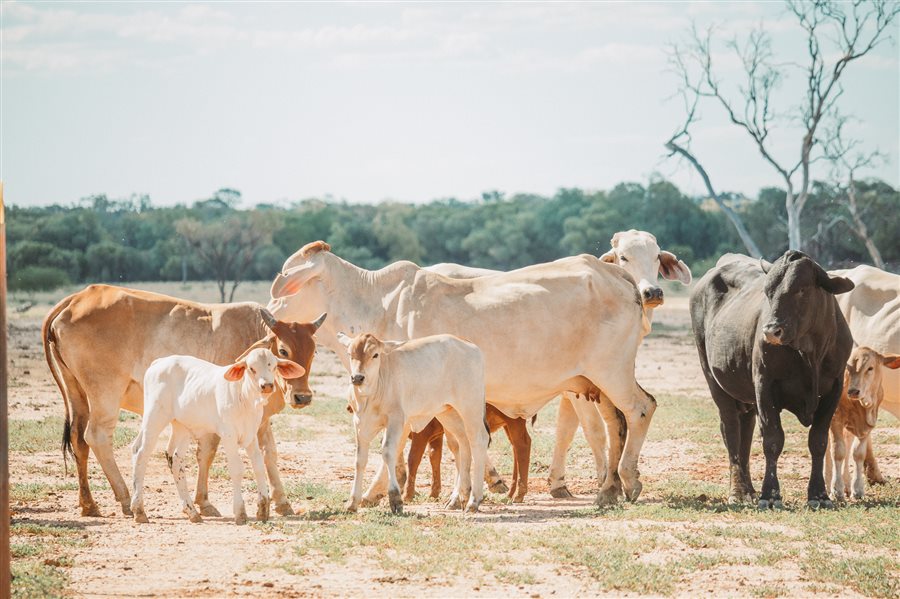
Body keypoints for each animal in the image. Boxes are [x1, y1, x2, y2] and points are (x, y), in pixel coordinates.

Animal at [132, 348, 305, 524]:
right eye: (251, 368)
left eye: (274, 366)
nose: (267, 386)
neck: (244, 398)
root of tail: (159, 362)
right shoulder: (229, 436)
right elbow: (237, 469)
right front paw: (240, 512)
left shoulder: (251, 435)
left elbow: (258, 466)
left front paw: (262, 510)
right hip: (154, 417)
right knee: (141, 453)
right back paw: (139, 510)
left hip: (182, 427)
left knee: (175, 460)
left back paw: (191, 512)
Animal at [339, 332, 491, 513]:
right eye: (350, 354)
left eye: (375, 355)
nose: (357, 378)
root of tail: (470, 345)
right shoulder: (360, 424)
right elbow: (359, 460)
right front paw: (352, 502)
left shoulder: (396, 421)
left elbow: (388, 452)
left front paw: (396, 499)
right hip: (448, 413)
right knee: (463, 444)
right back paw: (460, 497)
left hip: (471, 408)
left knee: (479, 441)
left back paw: (474, 501)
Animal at [691, 251, 854, 509]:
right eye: (768, 292)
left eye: (801, 290)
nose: (771, 331)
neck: (809, 353)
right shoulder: (764, 388)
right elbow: (773, 440)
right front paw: (770, 495)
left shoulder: (833, 390)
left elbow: (818, 441)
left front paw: (819, 495)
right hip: (714, 380)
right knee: (732, 432)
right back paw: (738, 490)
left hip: (745, 396)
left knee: (745, 434)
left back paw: (749, 490)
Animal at [825, 346, 900, 501]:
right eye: (847, 368)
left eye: (870, 368)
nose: (853, 391)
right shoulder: (835, 419)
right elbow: (837, 452)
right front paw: (836, 490)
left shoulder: (867, 425)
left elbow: (858, 453)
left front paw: (857, 489)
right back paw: (828, 485)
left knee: (847, 446)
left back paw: (847, 485)